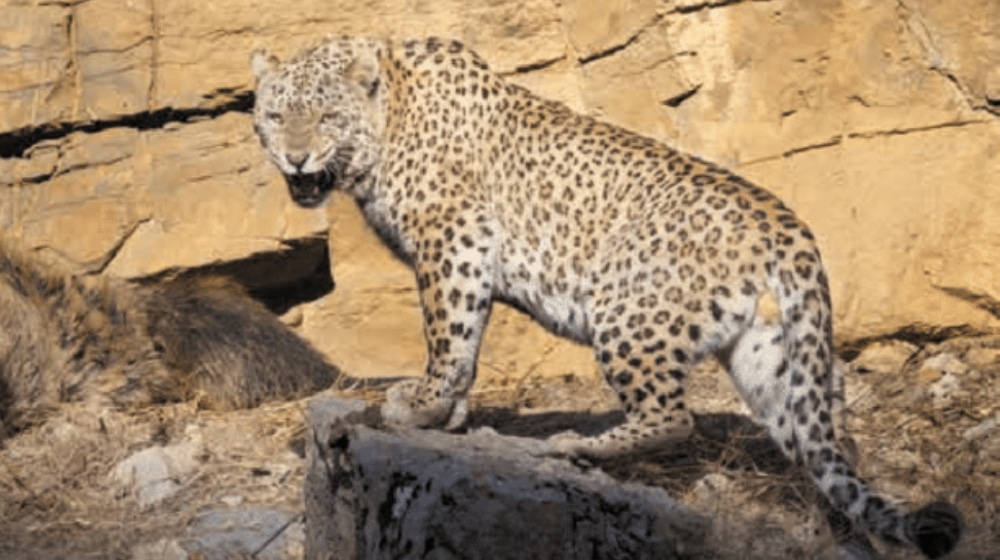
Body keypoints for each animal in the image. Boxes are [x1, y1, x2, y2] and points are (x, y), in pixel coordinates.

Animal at [251, 36, 962, 558]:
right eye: (275, 115)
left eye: (326, 116)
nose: (295, 158)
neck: (386, 122)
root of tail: (787, 227)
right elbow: (466, 339)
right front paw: (447, 414)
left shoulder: (453, 236)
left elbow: (448, 332)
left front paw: (421, 404)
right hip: (769, 352)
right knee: (819, 435)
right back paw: (842, 520)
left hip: (625, 311)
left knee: (674, 415)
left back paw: (574, 447)